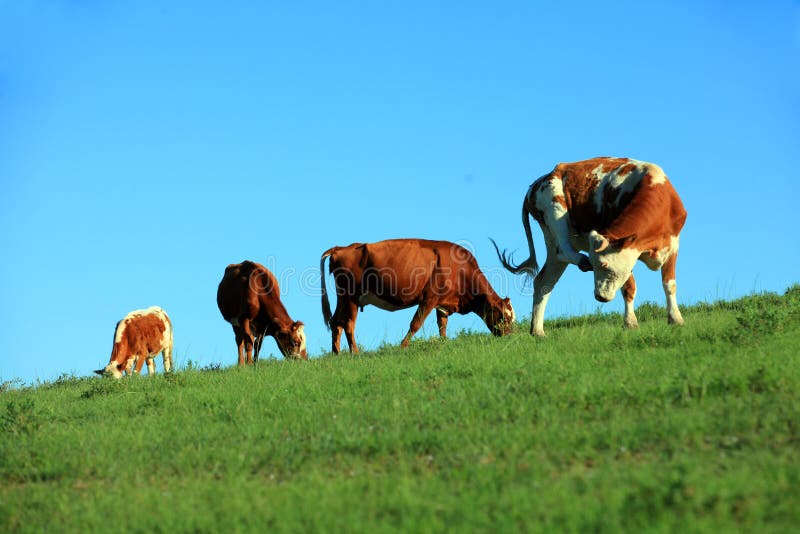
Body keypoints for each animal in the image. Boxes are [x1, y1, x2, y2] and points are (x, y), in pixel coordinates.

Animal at [320, 239, 516, 354]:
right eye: (504, 316)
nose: (512, 336)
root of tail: (340, 248)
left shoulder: (442, 303)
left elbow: (442, 325)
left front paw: (444, 343)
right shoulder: (429, 298)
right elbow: (415, 323)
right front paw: (402, 346)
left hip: (342, 297)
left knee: (336, 322)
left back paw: (336, 354)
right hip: (351, 296)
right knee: (348, 324)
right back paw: (355, 353)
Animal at [491, 157, 687, 336]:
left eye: (604, 265)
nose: (599, 296)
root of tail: (535, 185)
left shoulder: (673, 245)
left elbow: (669, 284)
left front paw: (675, 319)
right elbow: (629, 288)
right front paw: (630, 323)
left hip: (551, 240)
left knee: (544, 281)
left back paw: (538, 331)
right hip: (554, 207)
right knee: (562, 250)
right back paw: (581, 261)